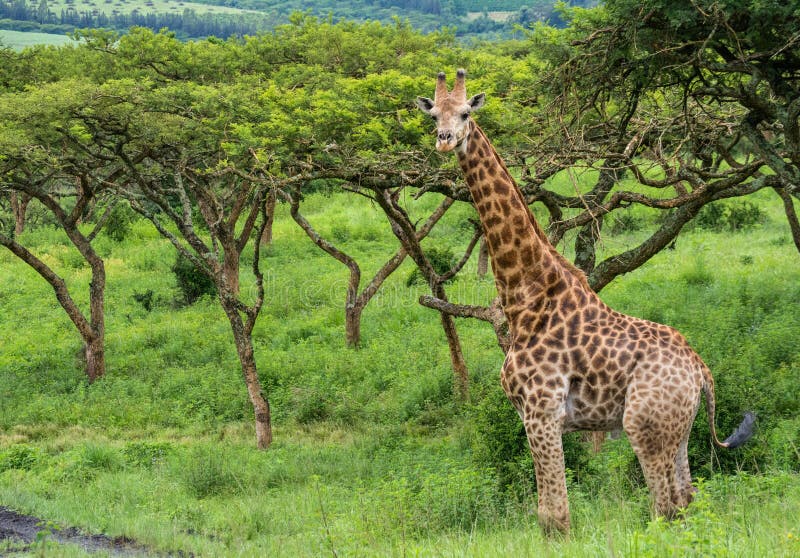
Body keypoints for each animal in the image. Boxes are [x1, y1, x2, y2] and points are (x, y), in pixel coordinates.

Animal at [416, 70, 755, 534]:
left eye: (466, 113)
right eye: (433, 115)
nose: (446, 141)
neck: (526, 297)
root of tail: (701, 370)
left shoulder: (541, 412)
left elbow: (554, 516)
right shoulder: (534, 416)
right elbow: (548, 513)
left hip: (644, 424)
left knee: (664, 504)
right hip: (678, 428)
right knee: (687, 498)